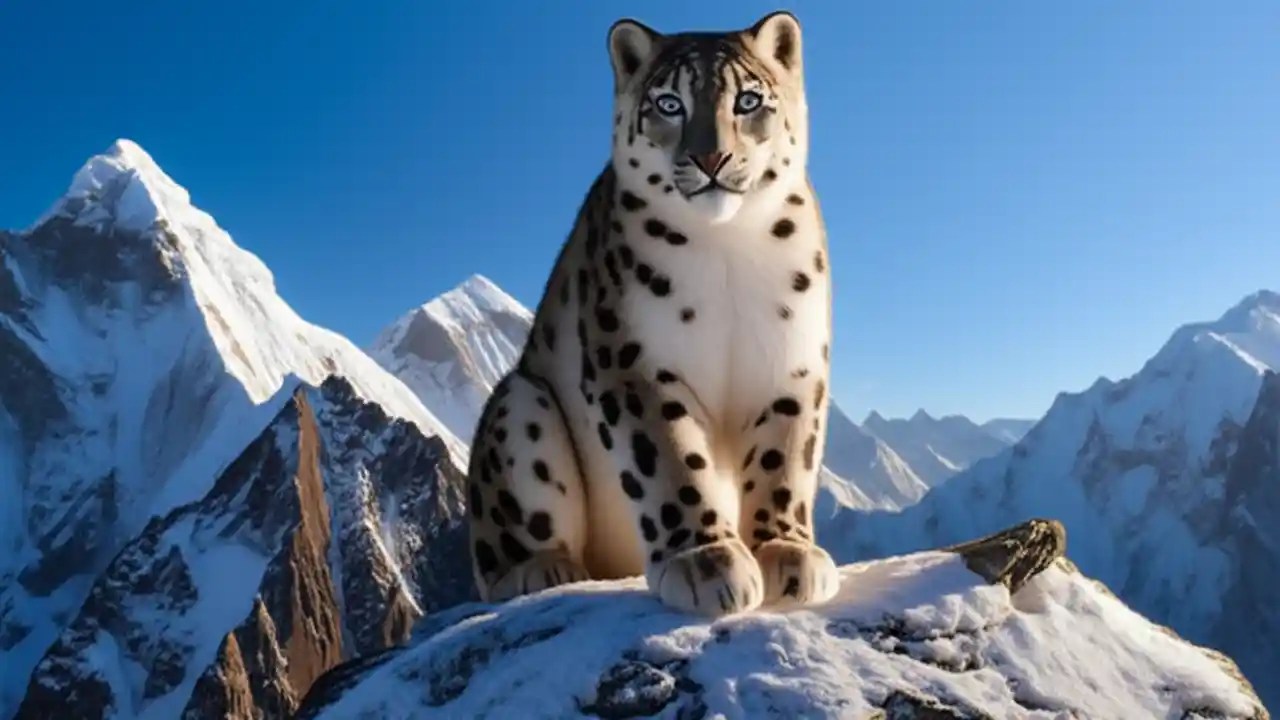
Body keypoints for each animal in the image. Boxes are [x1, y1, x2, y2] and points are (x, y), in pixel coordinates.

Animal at [466, 10, 838, 617]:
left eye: (748, 100)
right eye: (669, 103)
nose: (710, 158)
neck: (727, 247)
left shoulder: (791, 362)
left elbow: (784, 458)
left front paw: (786, 553)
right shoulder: (632, 360)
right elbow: (668, 458)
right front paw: (708, 562)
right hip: (520, 405)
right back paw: (542, 568)